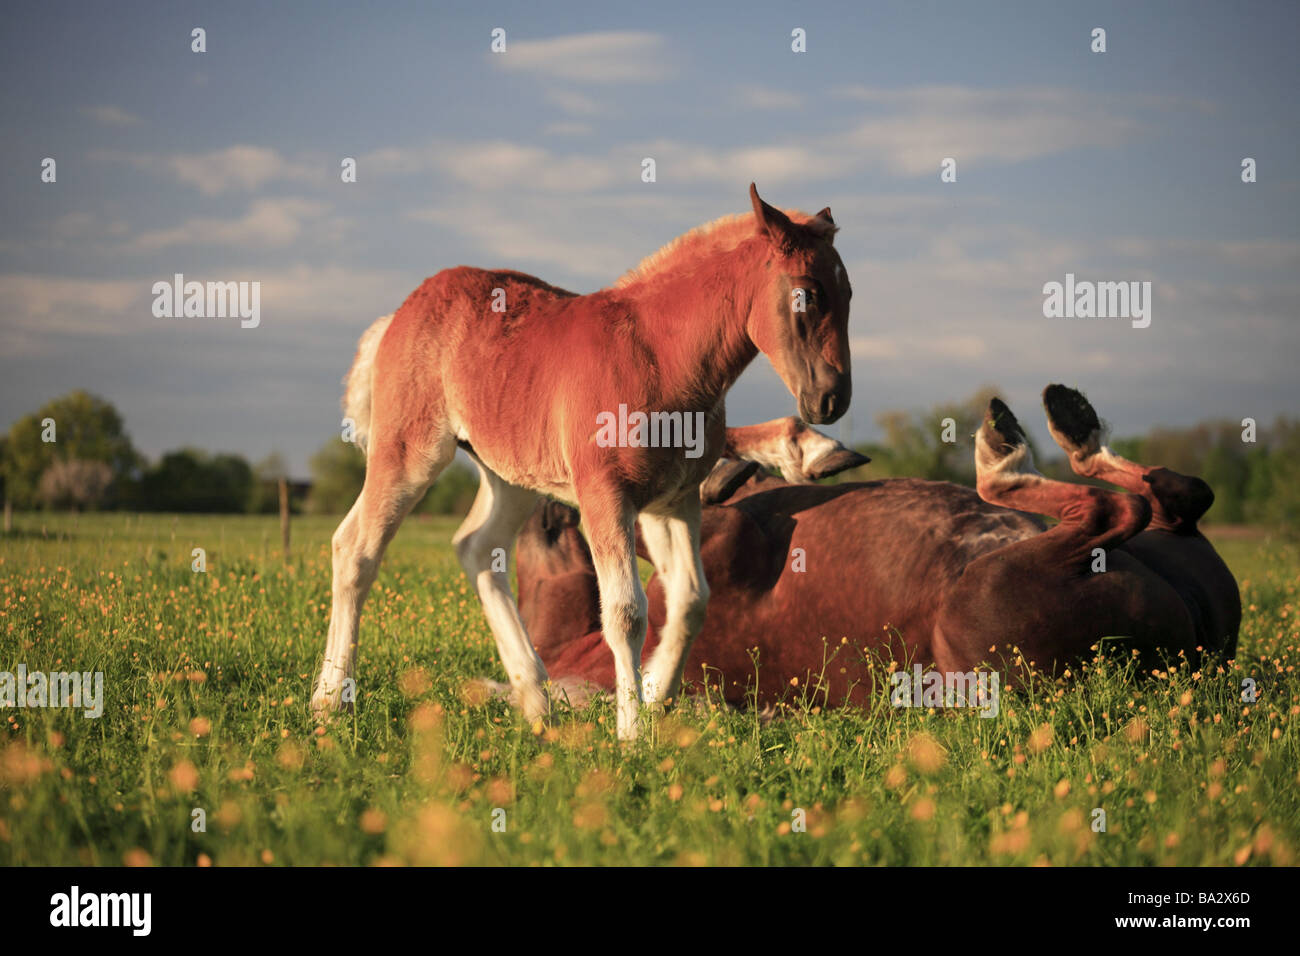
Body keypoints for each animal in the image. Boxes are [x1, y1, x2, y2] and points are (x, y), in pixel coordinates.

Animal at [311, 185, 854, 739]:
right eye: (808, 293)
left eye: (850, 293)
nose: (831, 400)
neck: (658, 356)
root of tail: (398, 316)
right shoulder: (606, 497)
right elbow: (626, 612)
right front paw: (631, 732)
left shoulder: (673, 502)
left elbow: (690, 600)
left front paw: (655, 695)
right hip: (409, 452)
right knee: (355, 549)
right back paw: (329, 703)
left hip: (510, 475)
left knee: (478, 548)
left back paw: (538, 706)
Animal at [510, 386, 1240, 709]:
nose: (539, 510)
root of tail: (1192, 653)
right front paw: (802, 450)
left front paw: (791, 454)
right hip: (979, 603)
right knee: (1115, 506)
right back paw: (1022, 439)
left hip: (1180, 554)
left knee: (1178, 499)